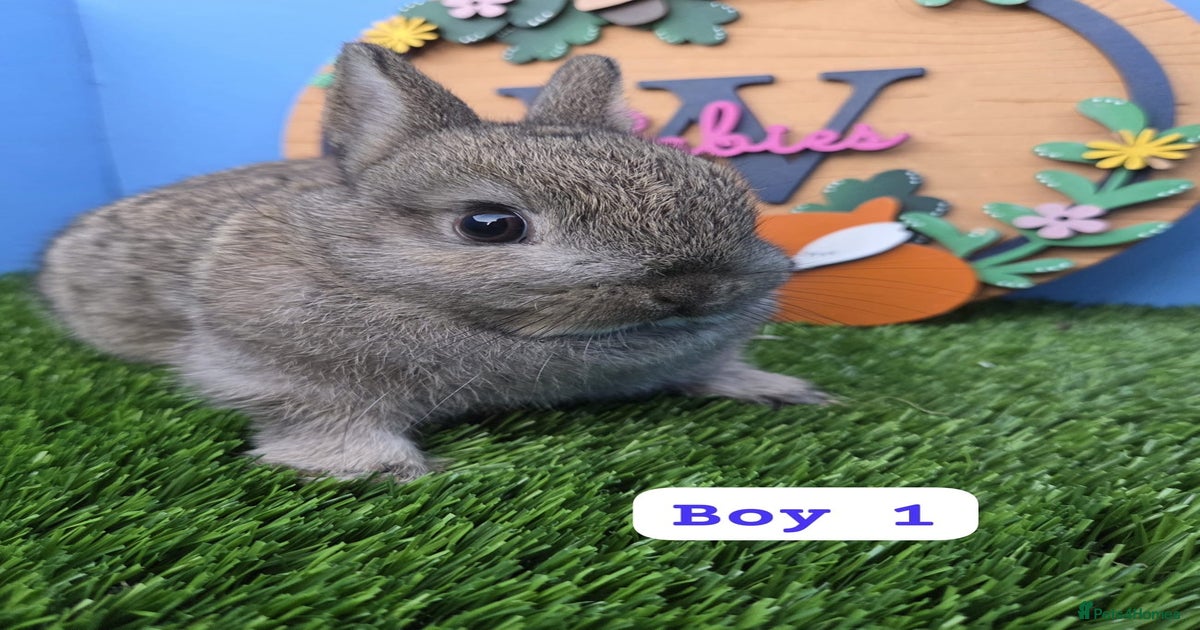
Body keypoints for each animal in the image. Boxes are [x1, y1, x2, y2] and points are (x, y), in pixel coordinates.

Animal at [39, 43, 831, 480]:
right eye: (489, 225)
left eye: (724, 188)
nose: (698, 288)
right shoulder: (281, 373)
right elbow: (325, 422)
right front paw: (384, 471)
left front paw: (783, 391)